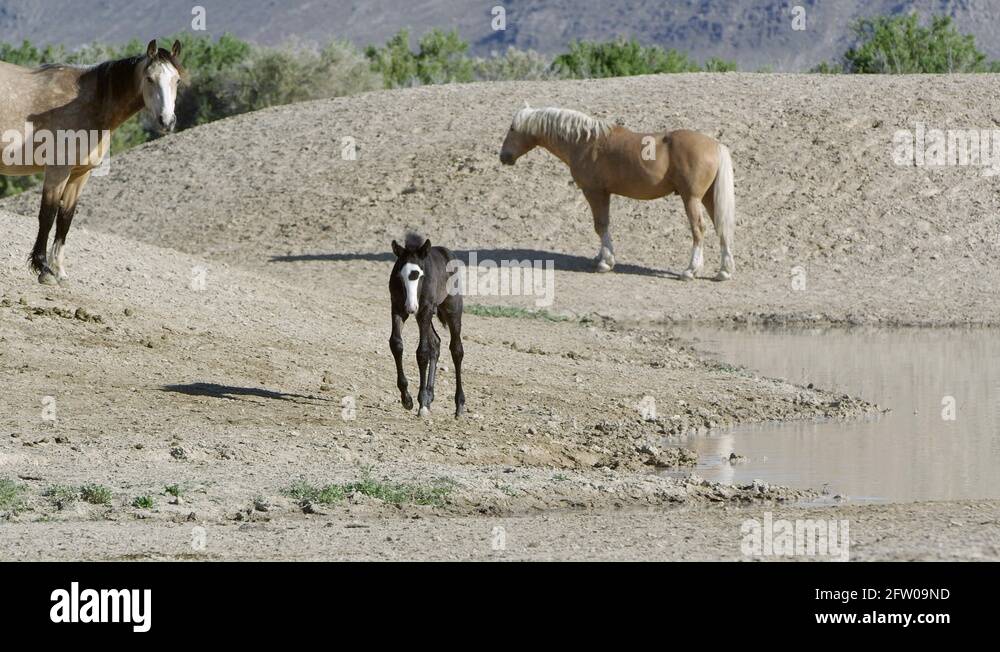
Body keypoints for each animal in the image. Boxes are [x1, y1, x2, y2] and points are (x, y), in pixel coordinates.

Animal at [0, 39, 184, 285]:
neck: (90, 103)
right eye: (149, 78)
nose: (167, 121)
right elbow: (47, 215)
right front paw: (44, 269)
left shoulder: (80, 174)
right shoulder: (58, 170)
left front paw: (59, 270)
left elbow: (65, 218)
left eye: (177, 80)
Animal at [389, 234, 466, 418]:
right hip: (423, 315)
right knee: (436, 343)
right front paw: (407, 398)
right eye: (399, 276)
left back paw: (459, 404)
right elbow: (396, 344)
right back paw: (430, 397)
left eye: (419, 275)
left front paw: (421, 401)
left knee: (456, 349)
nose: (411, 307)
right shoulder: (398, 308)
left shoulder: (424, 310)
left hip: (451, 308)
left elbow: (422, 352)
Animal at [499, 105, 736, 281]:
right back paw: (724, 271)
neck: (586, 142)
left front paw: (606, 261)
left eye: (512, 128)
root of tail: (715, 144)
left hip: (692, 198)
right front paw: (601, 257)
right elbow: (603, 225)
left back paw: (690, 270)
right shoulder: (604, 194)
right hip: (708, 197)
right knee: (721, 226)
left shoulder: (594, 192)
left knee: (699, 230)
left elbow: (600, 225)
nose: (503, 156)